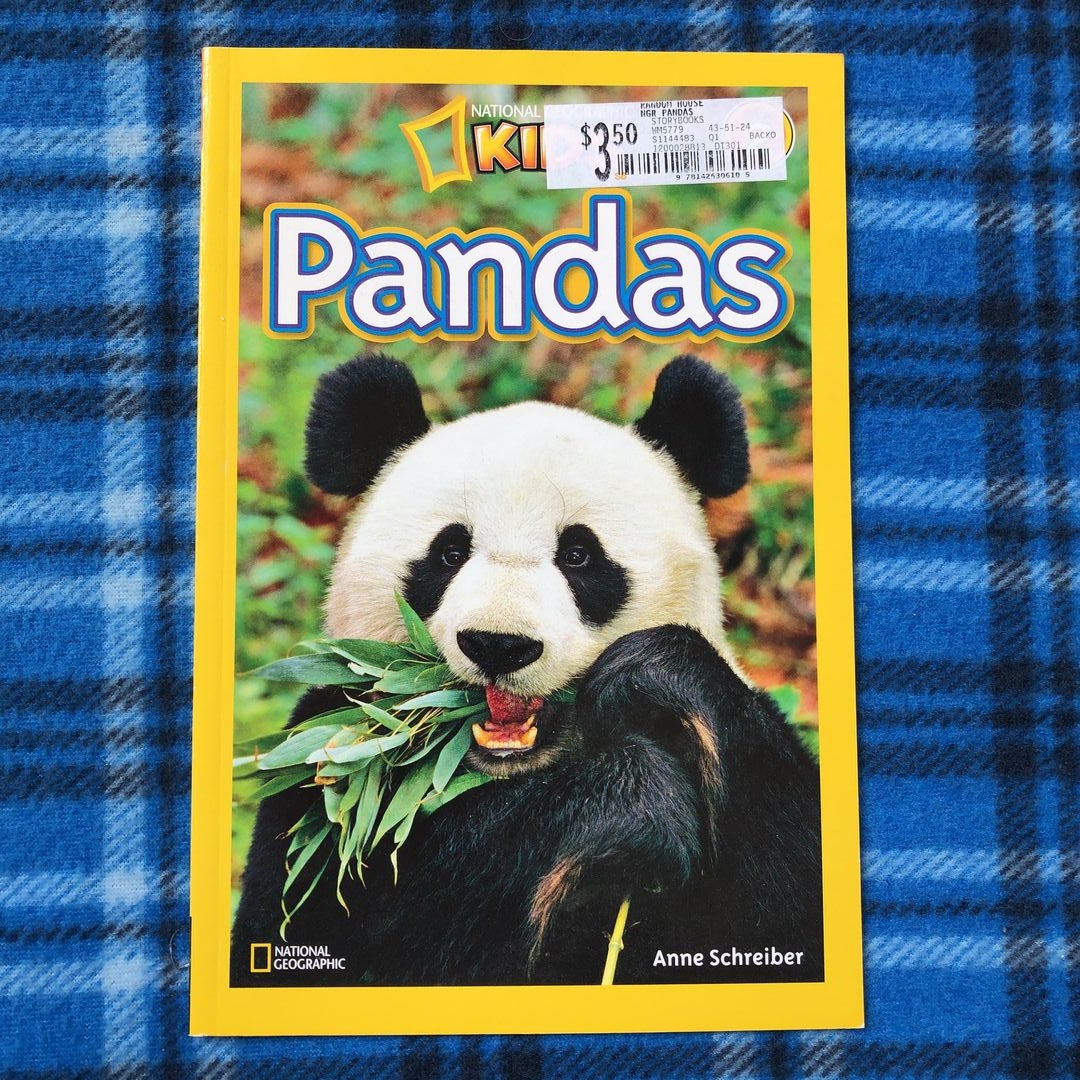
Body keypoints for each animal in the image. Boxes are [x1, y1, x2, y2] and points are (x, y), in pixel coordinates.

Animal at [230, 352, 823, 987]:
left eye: (580, 555)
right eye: (450, 553)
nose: (498, 644)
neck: (515, 771)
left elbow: (785, 901)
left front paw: (654, 675)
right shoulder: (330, 767)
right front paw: (633, 799)